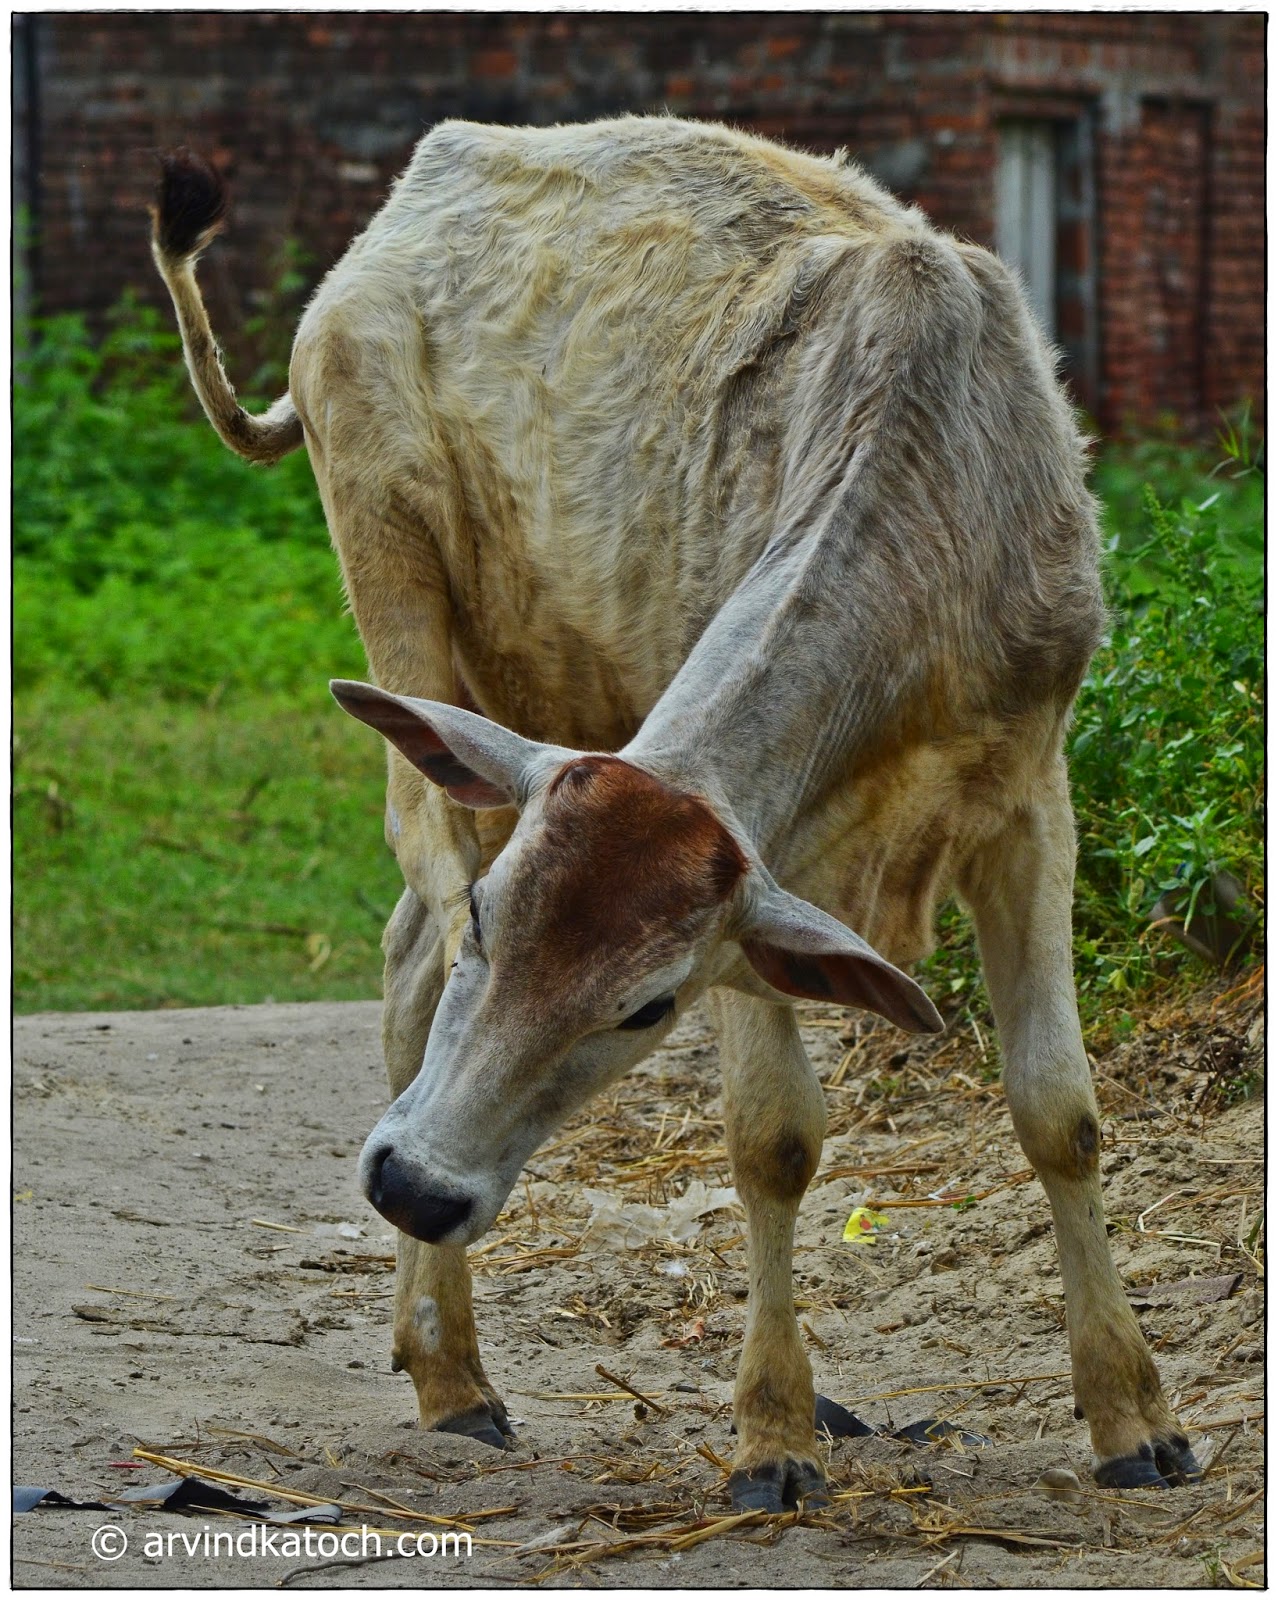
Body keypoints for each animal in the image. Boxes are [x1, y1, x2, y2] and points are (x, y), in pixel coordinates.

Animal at [151, 115, 1199, 1510]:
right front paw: (772, 1432)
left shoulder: (1032, 798)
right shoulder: (770, 876)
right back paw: (452, 1370)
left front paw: (1135, 1416)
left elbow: (1060, 1111)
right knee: (412, 941)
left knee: (401, 938)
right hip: (398, 586)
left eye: (646, 1005)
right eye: (496, 924)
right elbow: (773, 1138)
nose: (414, 1183)